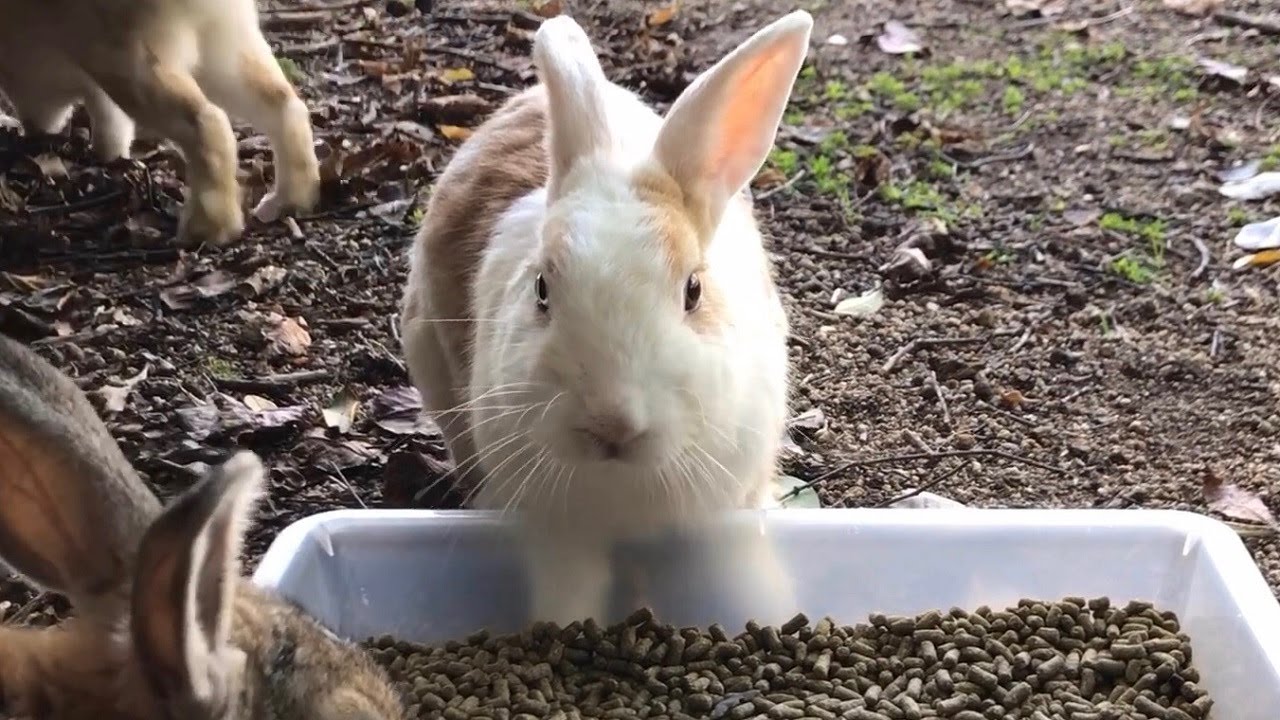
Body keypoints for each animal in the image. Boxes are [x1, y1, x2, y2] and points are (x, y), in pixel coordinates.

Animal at [0, 0, 321, 247]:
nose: (33, 132)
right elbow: (106, 111)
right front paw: (110, 155)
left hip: (127, 53)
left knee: (207, 121)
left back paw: (208, 226)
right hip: (223, 39)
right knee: (283, 104)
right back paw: (289, 199)